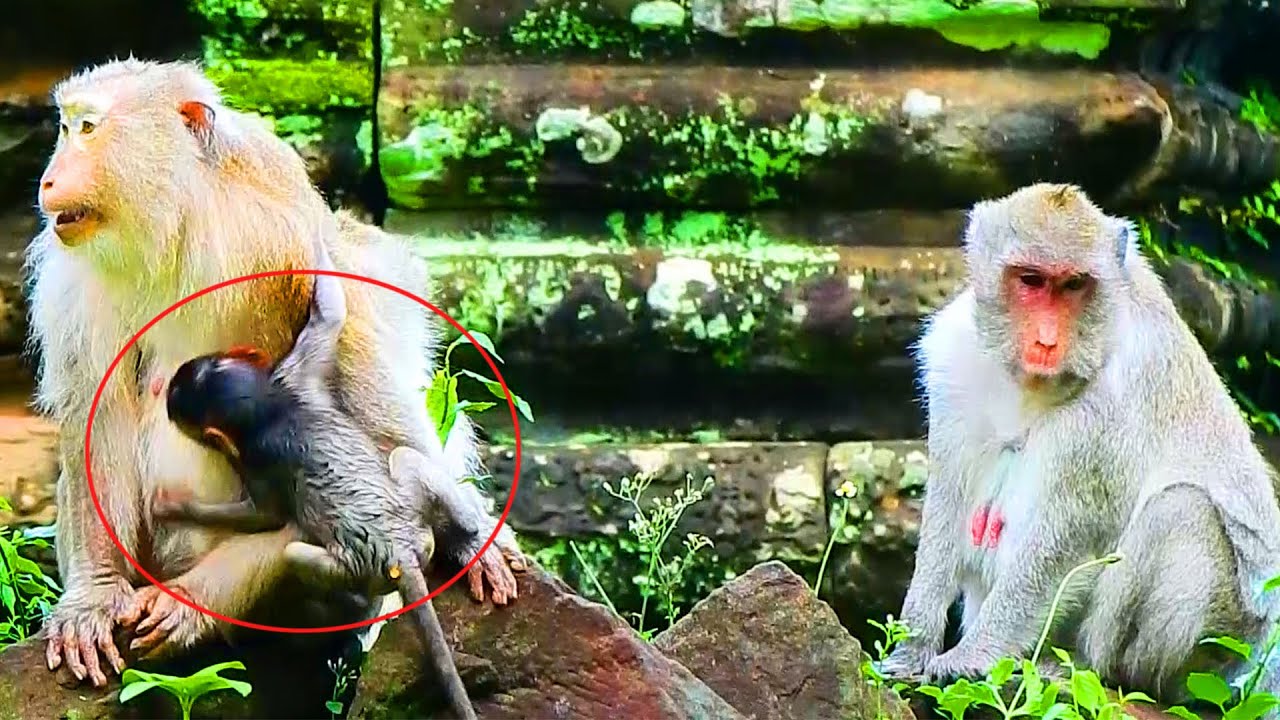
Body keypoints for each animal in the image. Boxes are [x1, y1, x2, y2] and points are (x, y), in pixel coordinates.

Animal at [154, 243, 475, 720]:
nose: (173, 385)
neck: (269, 405)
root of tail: (399, 549)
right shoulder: (297, 372)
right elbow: (330, 315)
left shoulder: (257, 456)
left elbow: (261, 515)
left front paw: (175, 505)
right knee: (404, 459)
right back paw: (467, 531)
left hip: (353, 564)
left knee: (295, 551)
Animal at [877, 183, 1280, 707]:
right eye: (1030, 280)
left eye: (1073, 285)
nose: (1048, 341)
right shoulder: (955, 356)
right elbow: (948, 500)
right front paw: (910, 650)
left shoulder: (1108, 400)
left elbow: (1070, 537)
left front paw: (972, 655)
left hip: (1217, 649)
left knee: (1180, 511)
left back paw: (1091, 667)